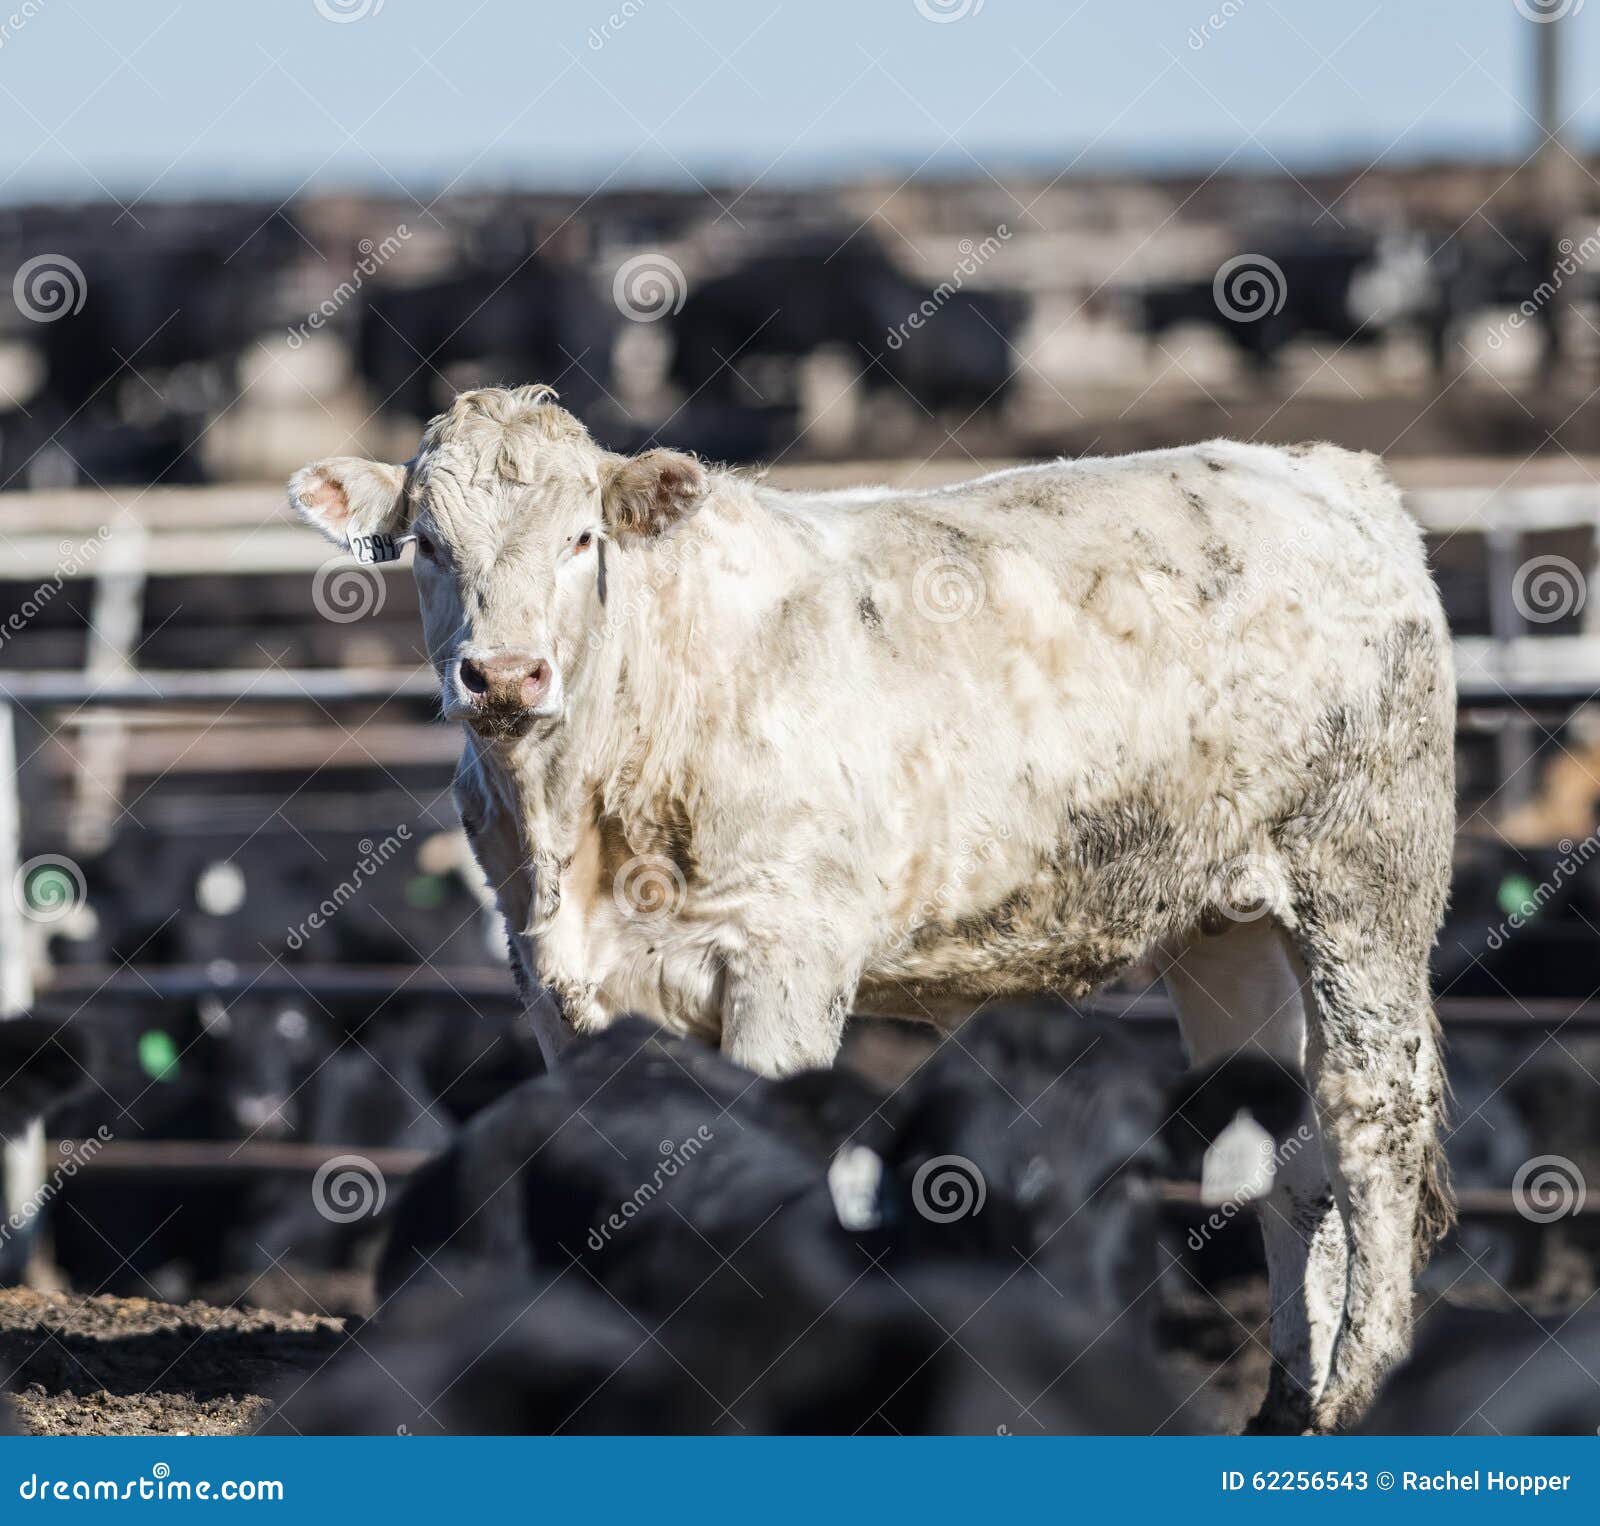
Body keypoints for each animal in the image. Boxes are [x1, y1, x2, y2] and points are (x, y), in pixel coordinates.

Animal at [289, 383, 1457, 1432]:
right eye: (428, 544)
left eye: (582, 539)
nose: (503, 675)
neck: (583, 802)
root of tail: (1319, 470)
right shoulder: (552, 978)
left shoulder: (786, 955)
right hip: (1230, 923)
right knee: (1280, 1143)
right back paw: (1288, 1402)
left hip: (1365, 879)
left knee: (1368, 1111)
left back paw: (1358, 1385)